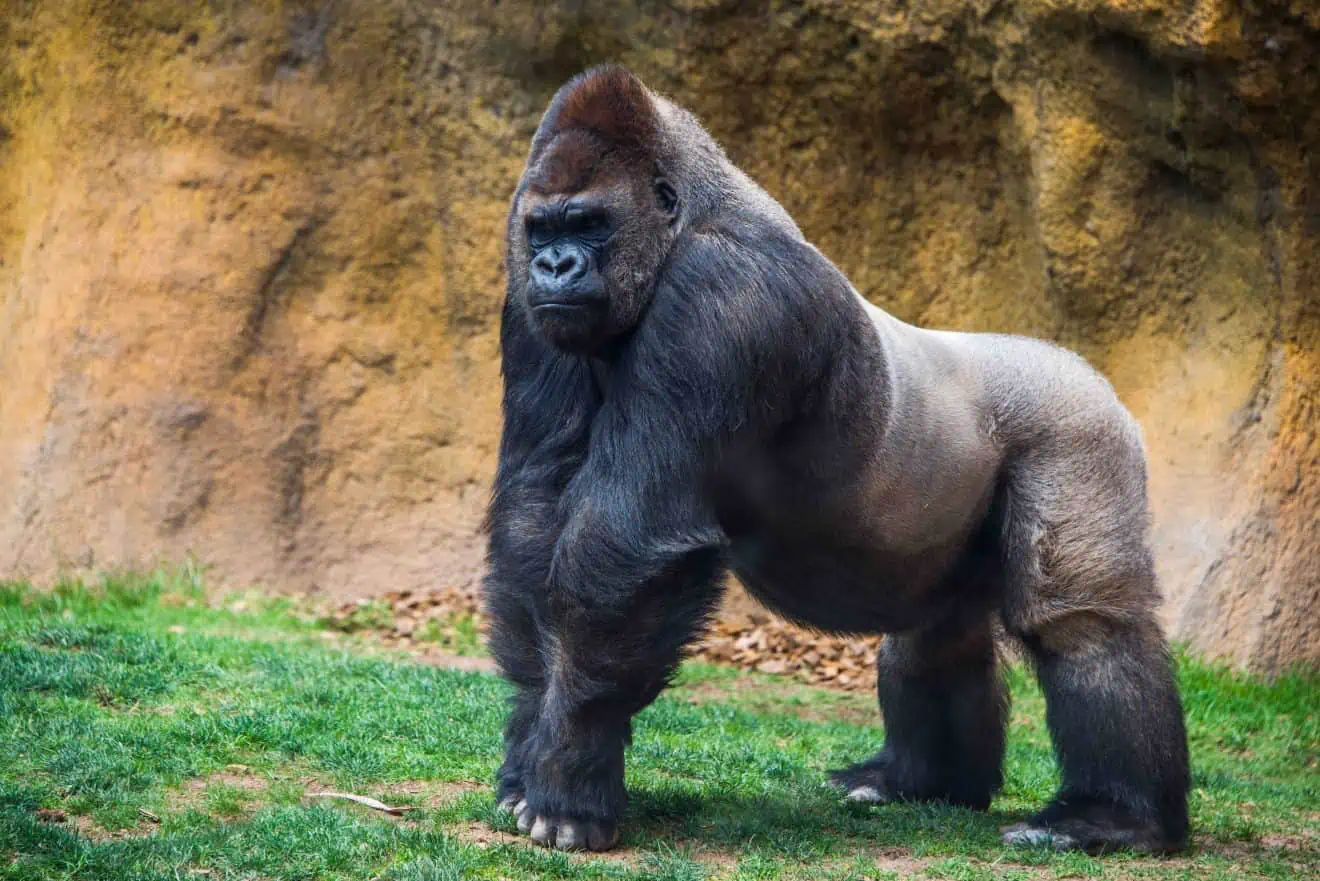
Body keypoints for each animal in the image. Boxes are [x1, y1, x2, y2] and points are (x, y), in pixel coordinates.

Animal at [481, 64, 1190, 856]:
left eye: (590, 223)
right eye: (543, 228)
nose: (553, 264)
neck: (687, 217)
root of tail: (1086, 371)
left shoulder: (725, 296)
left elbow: (629, 541)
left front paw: (572, 769)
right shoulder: (529, 310)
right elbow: (535, 517)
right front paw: (531, 748)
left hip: (1078, 428)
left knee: (1082, 621)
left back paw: (1114, 814)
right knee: (937, 633)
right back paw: (921, 781)